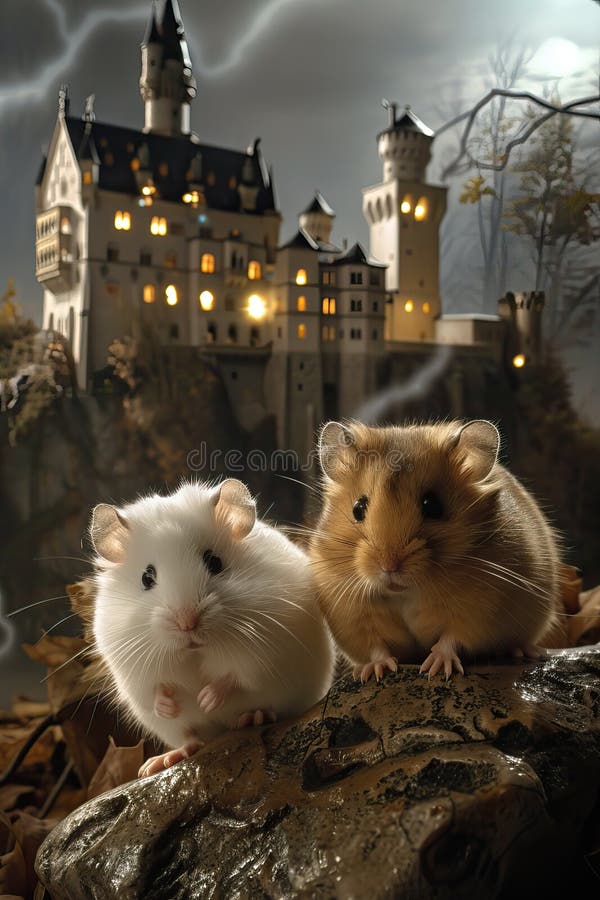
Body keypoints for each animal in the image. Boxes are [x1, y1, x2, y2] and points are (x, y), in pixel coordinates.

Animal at [90, 479, 334, 776]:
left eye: (215, 562)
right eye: (146, 577)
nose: (187, 623)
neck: (195, 650)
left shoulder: (263, 650)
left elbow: (235, 676)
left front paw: (206, 699)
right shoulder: (135, 669)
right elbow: (156, 691)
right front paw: (169, 706)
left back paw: (251, 717)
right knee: (191, 737)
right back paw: (161, 761)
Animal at [309, 420, 561, 681]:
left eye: (433, 506)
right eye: (358, 508)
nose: (389, 566)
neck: (406, 592)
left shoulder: (479, 612)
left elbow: (452, 639)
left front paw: (434, 669)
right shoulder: (354, 619)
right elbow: (377, 647)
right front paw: (375, 671)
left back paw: (527, 651)